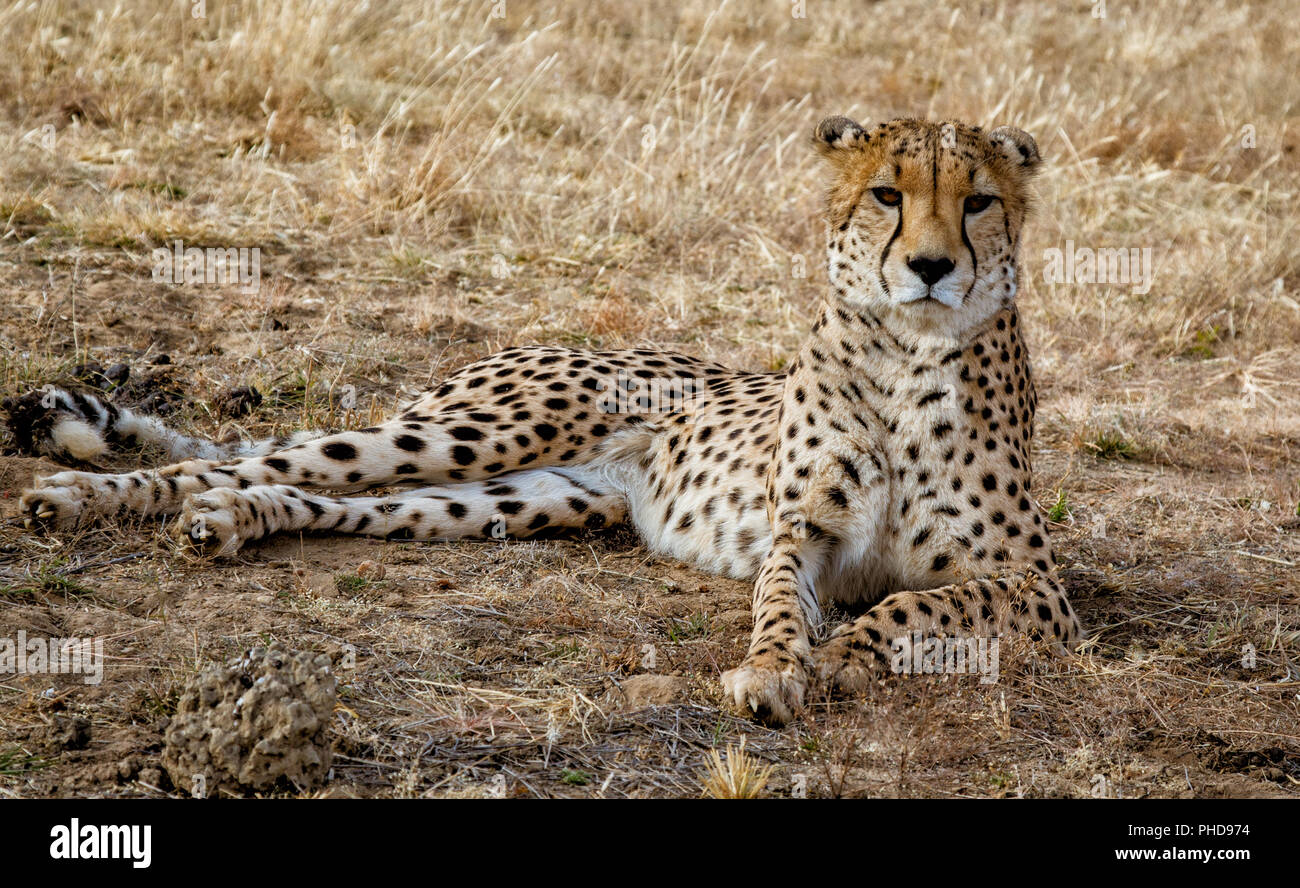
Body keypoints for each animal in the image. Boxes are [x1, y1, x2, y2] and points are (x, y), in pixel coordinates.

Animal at [8, 116, 1085, 725]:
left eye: (978, 202)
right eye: (886, 195)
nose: (932, 267)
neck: (907, 354)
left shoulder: (1035, 586)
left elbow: (913, 606)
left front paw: (839, 655)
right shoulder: (801, 534)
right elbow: (782, 604)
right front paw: (776, 670)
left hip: (525, 495)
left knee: (303, 489)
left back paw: (225, 521)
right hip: (481, 432)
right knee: (242, 460)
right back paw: (77, 492)